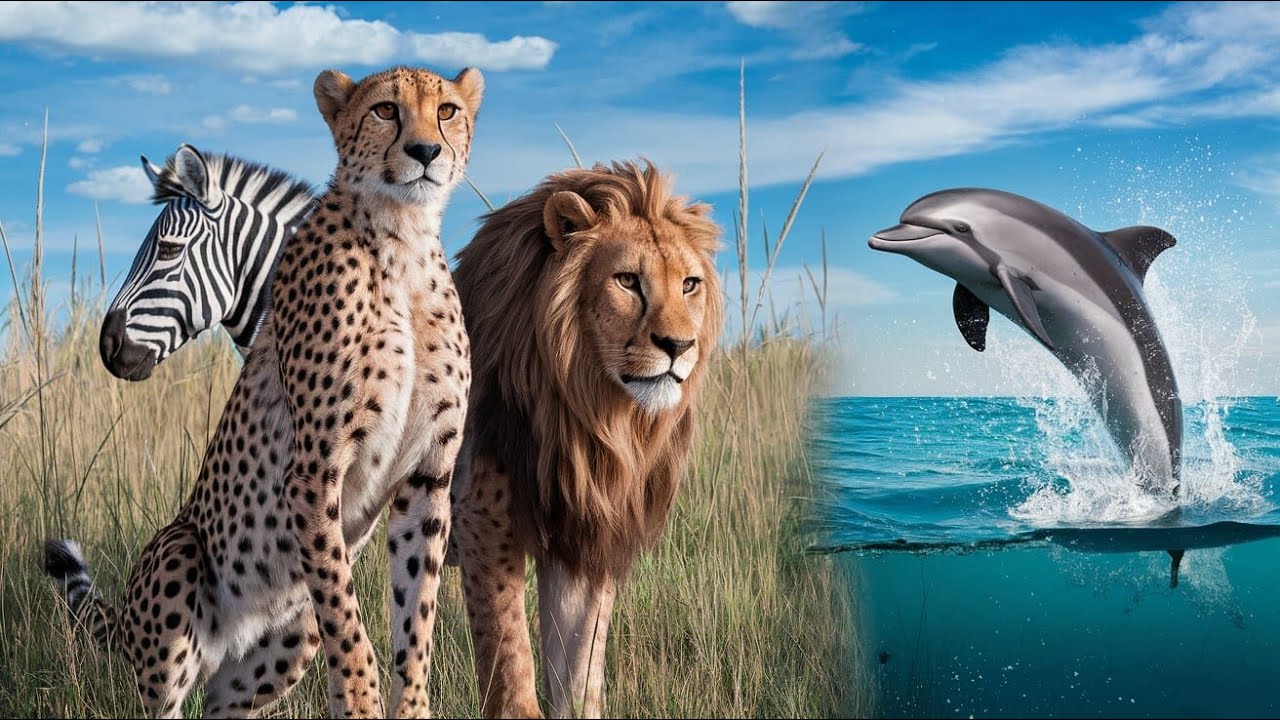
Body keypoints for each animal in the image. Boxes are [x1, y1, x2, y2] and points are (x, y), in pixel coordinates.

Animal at [450, 159, 724, 718]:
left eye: (689, 284)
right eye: (627, 281)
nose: (679, 345)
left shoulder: (585, 532)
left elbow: (578, 672)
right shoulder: (481, 517)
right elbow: (511, 663)